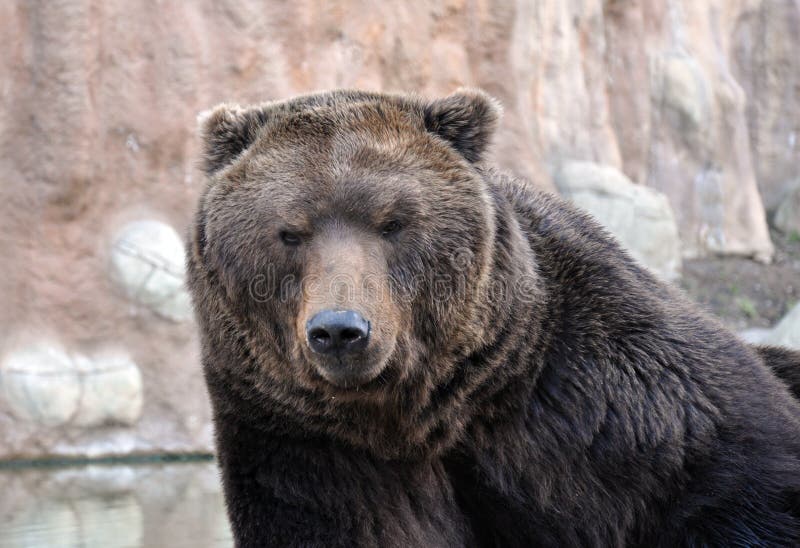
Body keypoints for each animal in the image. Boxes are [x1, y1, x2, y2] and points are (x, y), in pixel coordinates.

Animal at [186, 89, 800, 547]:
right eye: (290, 231)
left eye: (394, 222)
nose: (340, 329)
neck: (427, 411)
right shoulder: (311, 449)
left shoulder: (611, 401)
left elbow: (737, 479)